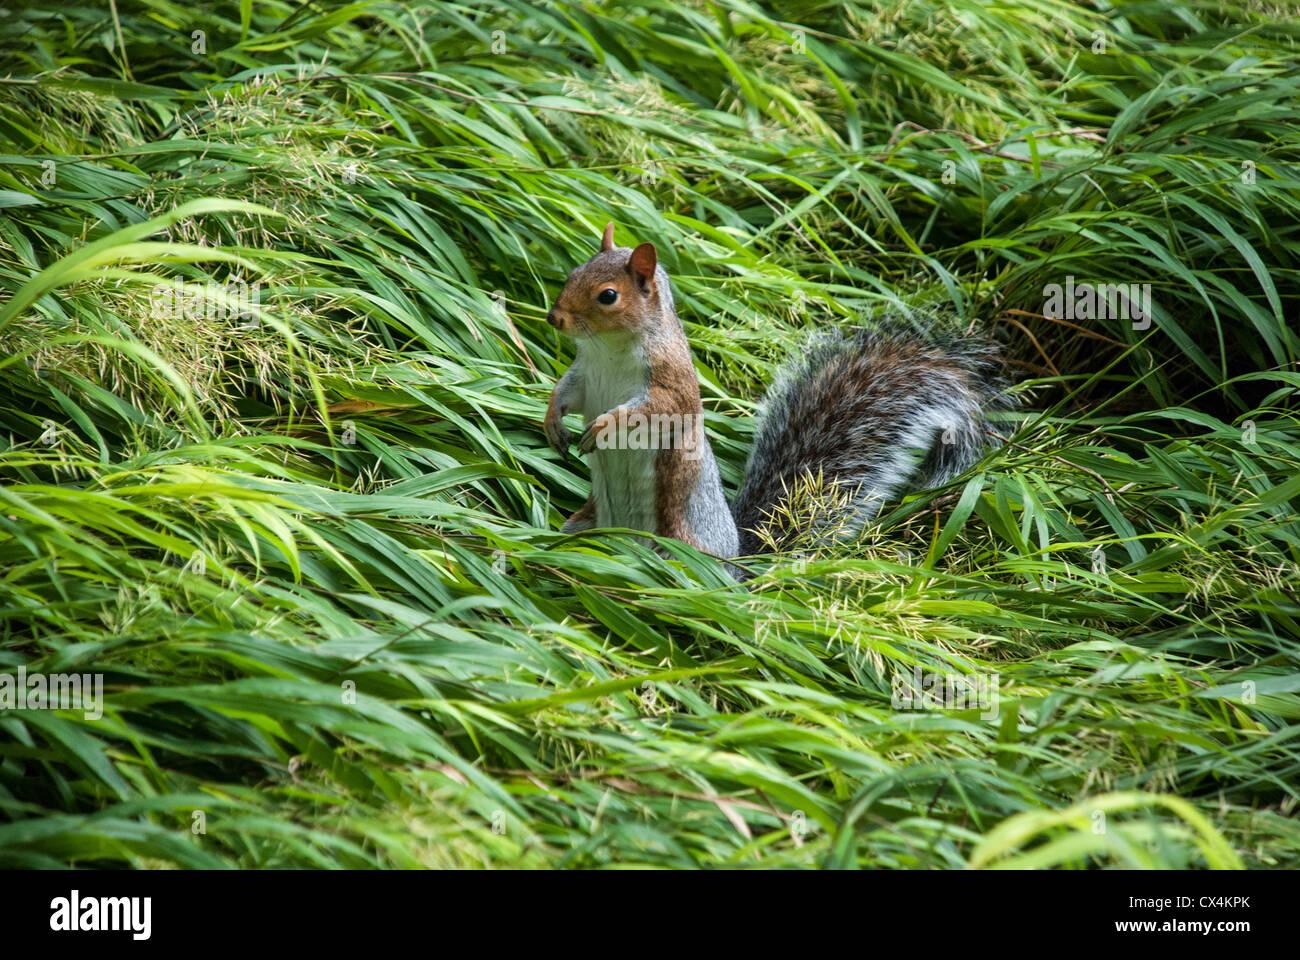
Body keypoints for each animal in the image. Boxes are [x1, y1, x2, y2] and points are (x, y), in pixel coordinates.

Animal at [544, 222, 1010, 564]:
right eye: (573, 273)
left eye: (608, 296)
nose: (554, 318)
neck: (608, 350)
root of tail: (736, 567)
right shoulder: (585, 374)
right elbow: (567, 393)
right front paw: (554, 422)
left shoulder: (669, 383)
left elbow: (652, 411)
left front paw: (603, 427)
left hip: (680, 540)